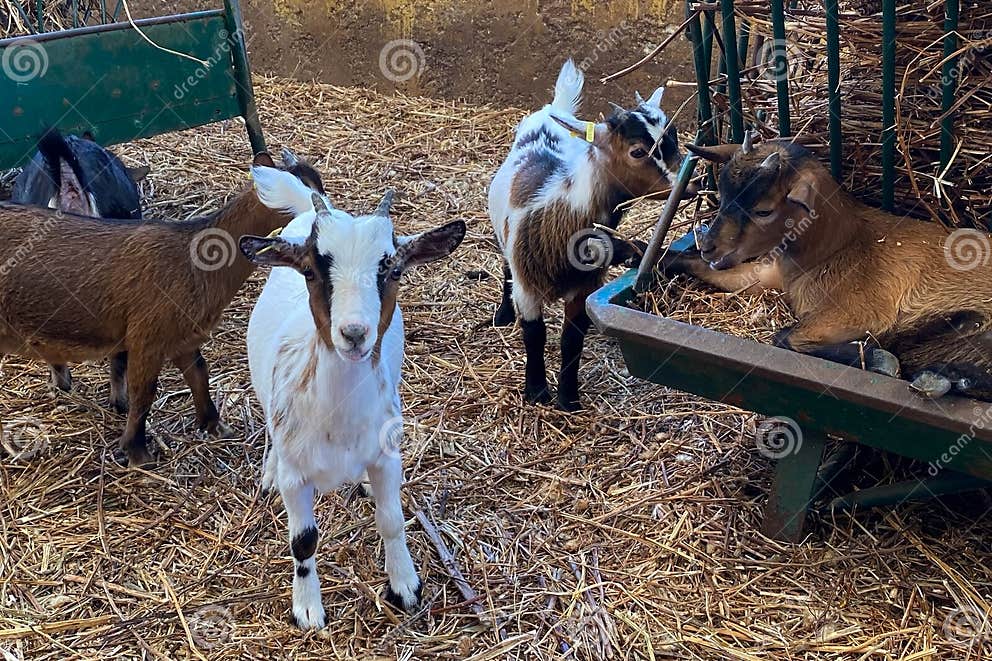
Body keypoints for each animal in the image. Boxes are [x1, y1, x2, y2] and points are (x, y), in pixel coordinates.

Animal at [239, 177, 465, 629]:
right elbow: (303, 541)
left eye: (393, 270)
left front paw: (405, 586)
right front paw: (308, 608)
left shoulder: (387, 455)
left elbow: (391, 520)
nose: (355, 333)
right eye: (310, 271)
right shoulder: (297, 478)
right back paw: (268, 471)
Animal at [489, 59, 694, 411]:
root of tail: (552, 110)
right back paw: (502, 314)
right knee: (505, 266)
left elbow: (572, 340)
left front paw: (568, 398)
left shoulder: (584, 287)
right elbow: (534, 334)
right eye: (638, 151)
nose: (690, 184)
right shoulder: (528, 287)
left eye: (675, 136)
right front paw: (536, 392)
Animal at [664, 137, 992, 400]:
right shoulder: (770, 275)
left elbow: (786, 336)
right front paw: (656, 256)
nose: (708, 247)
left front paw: (881, 361)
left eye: (763, 210)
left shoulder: (861, 312)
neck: (838, 247)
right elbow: (724, 274)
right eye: (723, 195)